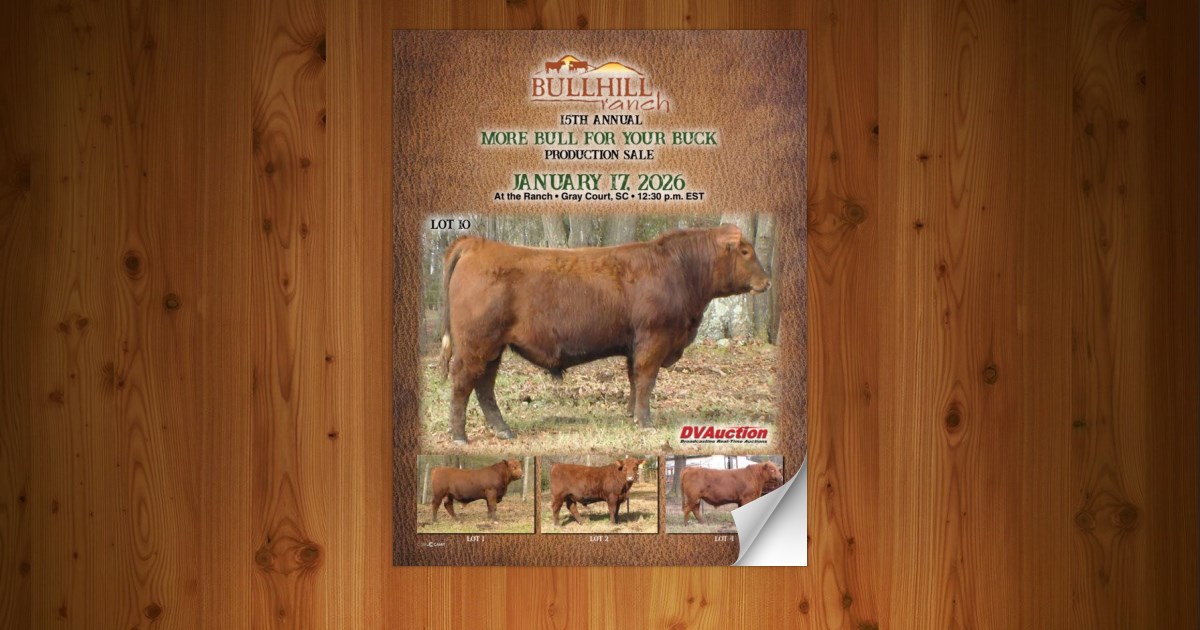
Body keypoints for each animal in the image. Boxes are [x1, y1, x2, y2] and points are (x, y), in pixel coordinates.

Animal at [438, 224, 771, 444]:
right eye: (745, 251)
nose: (767, 282)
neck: (679, 270)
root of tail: (475, 243)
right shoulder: (654, 339)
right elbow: (646, 379)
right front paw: (646, 422)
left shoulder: (635, 344)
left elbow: (634, 380)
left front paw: (631, 415)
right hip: (475, 345)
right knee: (462, 384)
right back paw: (459, 436)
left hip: (492, 348)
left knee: (484, 387)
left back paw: (503, 430)